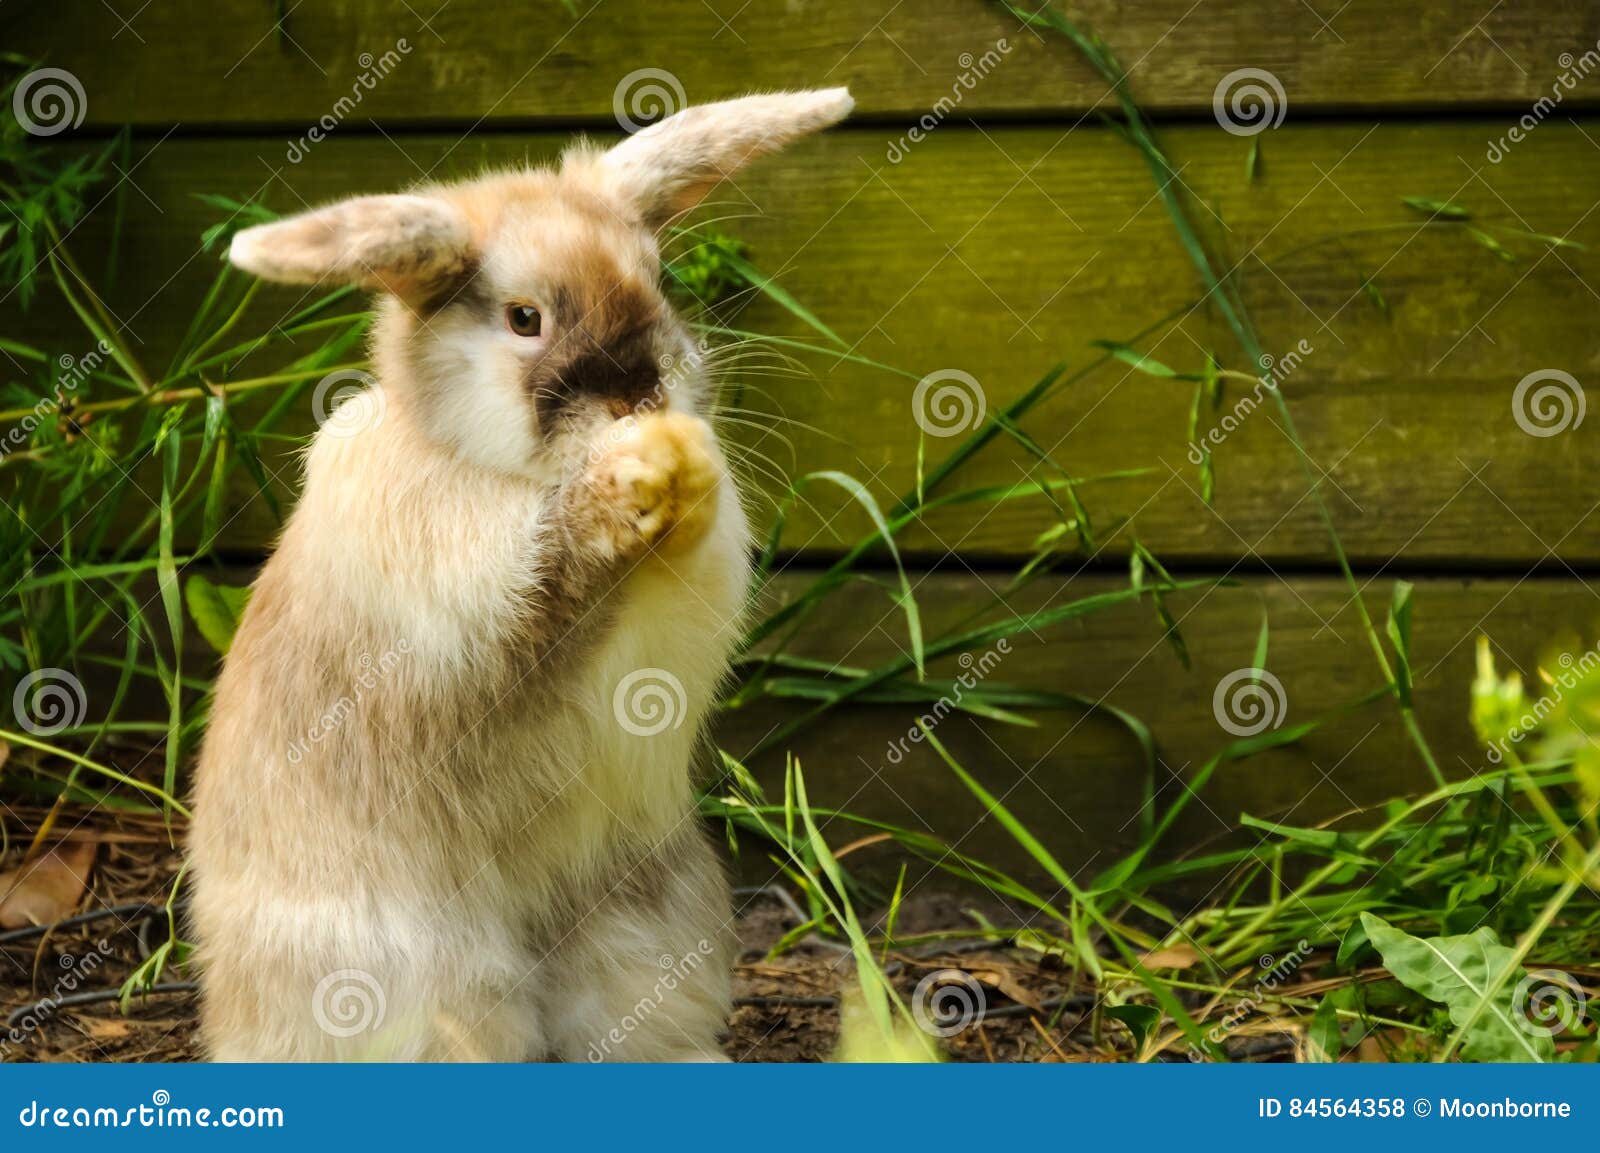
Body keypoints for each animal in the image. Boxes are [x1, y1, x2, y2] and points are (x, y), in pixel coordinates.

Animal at [188, 88, 854, 1061]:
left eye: (659, 281)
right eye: (525, 319)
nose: (639, 395)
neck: (508, 471)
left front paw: (679, 475)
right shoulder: (473, 613)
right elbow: (545, 590)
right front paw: (625, 485)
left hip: (648, 921)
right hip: (417, 979)